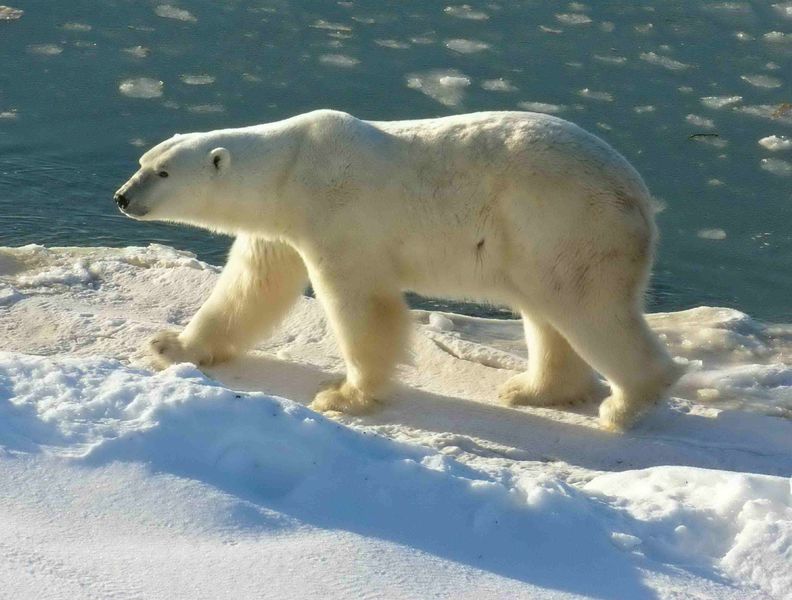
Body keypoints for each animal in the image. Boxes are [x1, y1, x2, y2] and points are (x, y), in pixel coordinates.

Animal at [114, 109, 682, 431]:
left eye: (162, 172)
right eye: (142, 161)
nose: (121, 197)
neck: (290, 166)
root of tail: (641, 196)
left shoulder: (338, 214)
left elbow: (361, 304)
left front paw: (345, 396)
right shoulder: (280, 228)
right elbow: (250, 286)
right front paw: (171, 346)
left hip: (567, 223)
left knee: (587, 307)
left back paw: (626, 405)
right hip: (537, 241)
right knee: (546, 311)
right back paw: (533, 389)